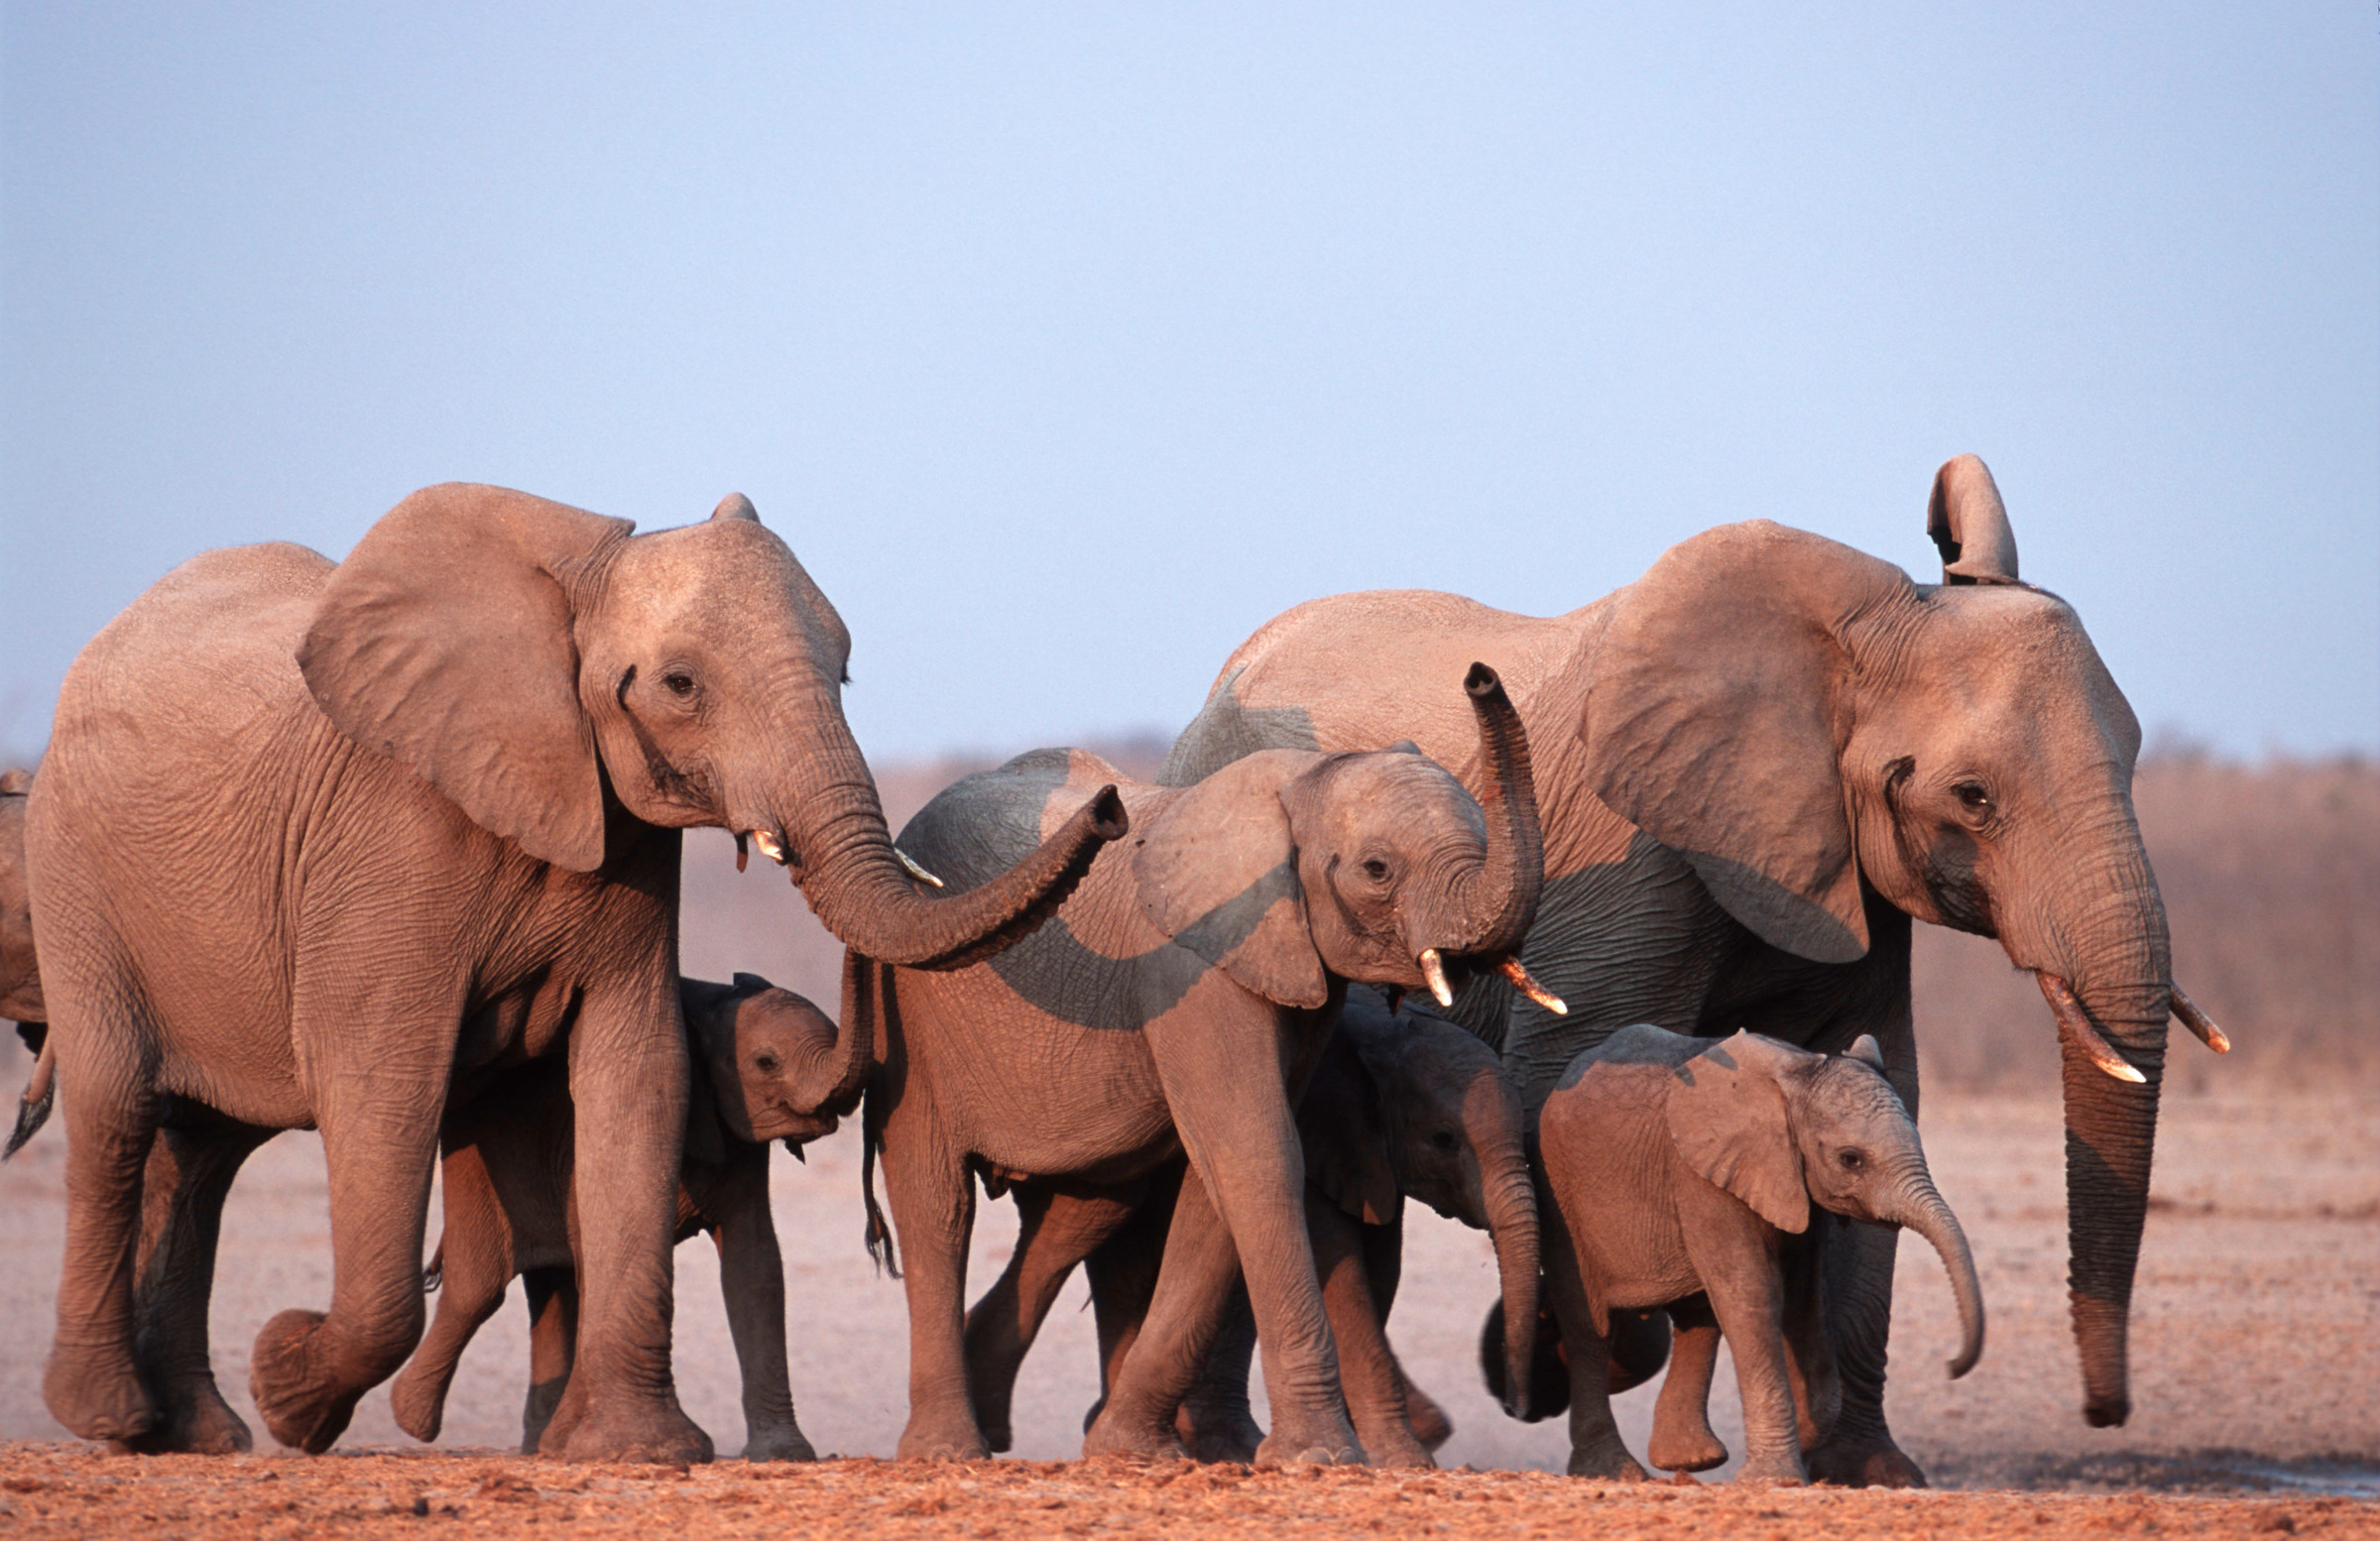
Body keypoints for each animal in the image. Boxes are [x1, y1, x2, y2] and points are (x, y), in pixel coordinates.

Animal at [391, 973, 858, 1460]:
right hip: (476, 1157)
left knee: (551, 1288)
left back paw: (540, 1445)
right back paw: (414, 1417)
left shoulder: (739, 1140)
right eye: (766, 1062)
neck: (710, 1003)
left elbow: (756, 1267)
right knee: (480, 1287)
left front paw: (785, 1454)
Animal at [958, 986, 1538, 1469]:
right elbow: (1342, 1276)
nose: (1515, 1404)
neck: (1381, 1033)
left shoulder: (1367, 1160)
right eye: (1444, 1139)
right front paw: (1406, 1461)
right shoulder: (1317, 1132)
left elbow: (1379, 1271)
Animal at [1530, 1025, 1984, 1483]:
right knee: (1590, 1328)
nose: (1951, 1365)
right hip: (1561, 1197)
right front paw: (1776, 1478)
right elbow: (1752, 1295)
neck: (1797, 1072)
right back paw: (1614, 1471)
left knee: (1699, 1317)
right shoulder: (1701, 1176)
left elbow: (1803, 1301)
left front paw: (1802, 1442)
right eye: (1850, 1159)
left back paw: (1690, 1460)